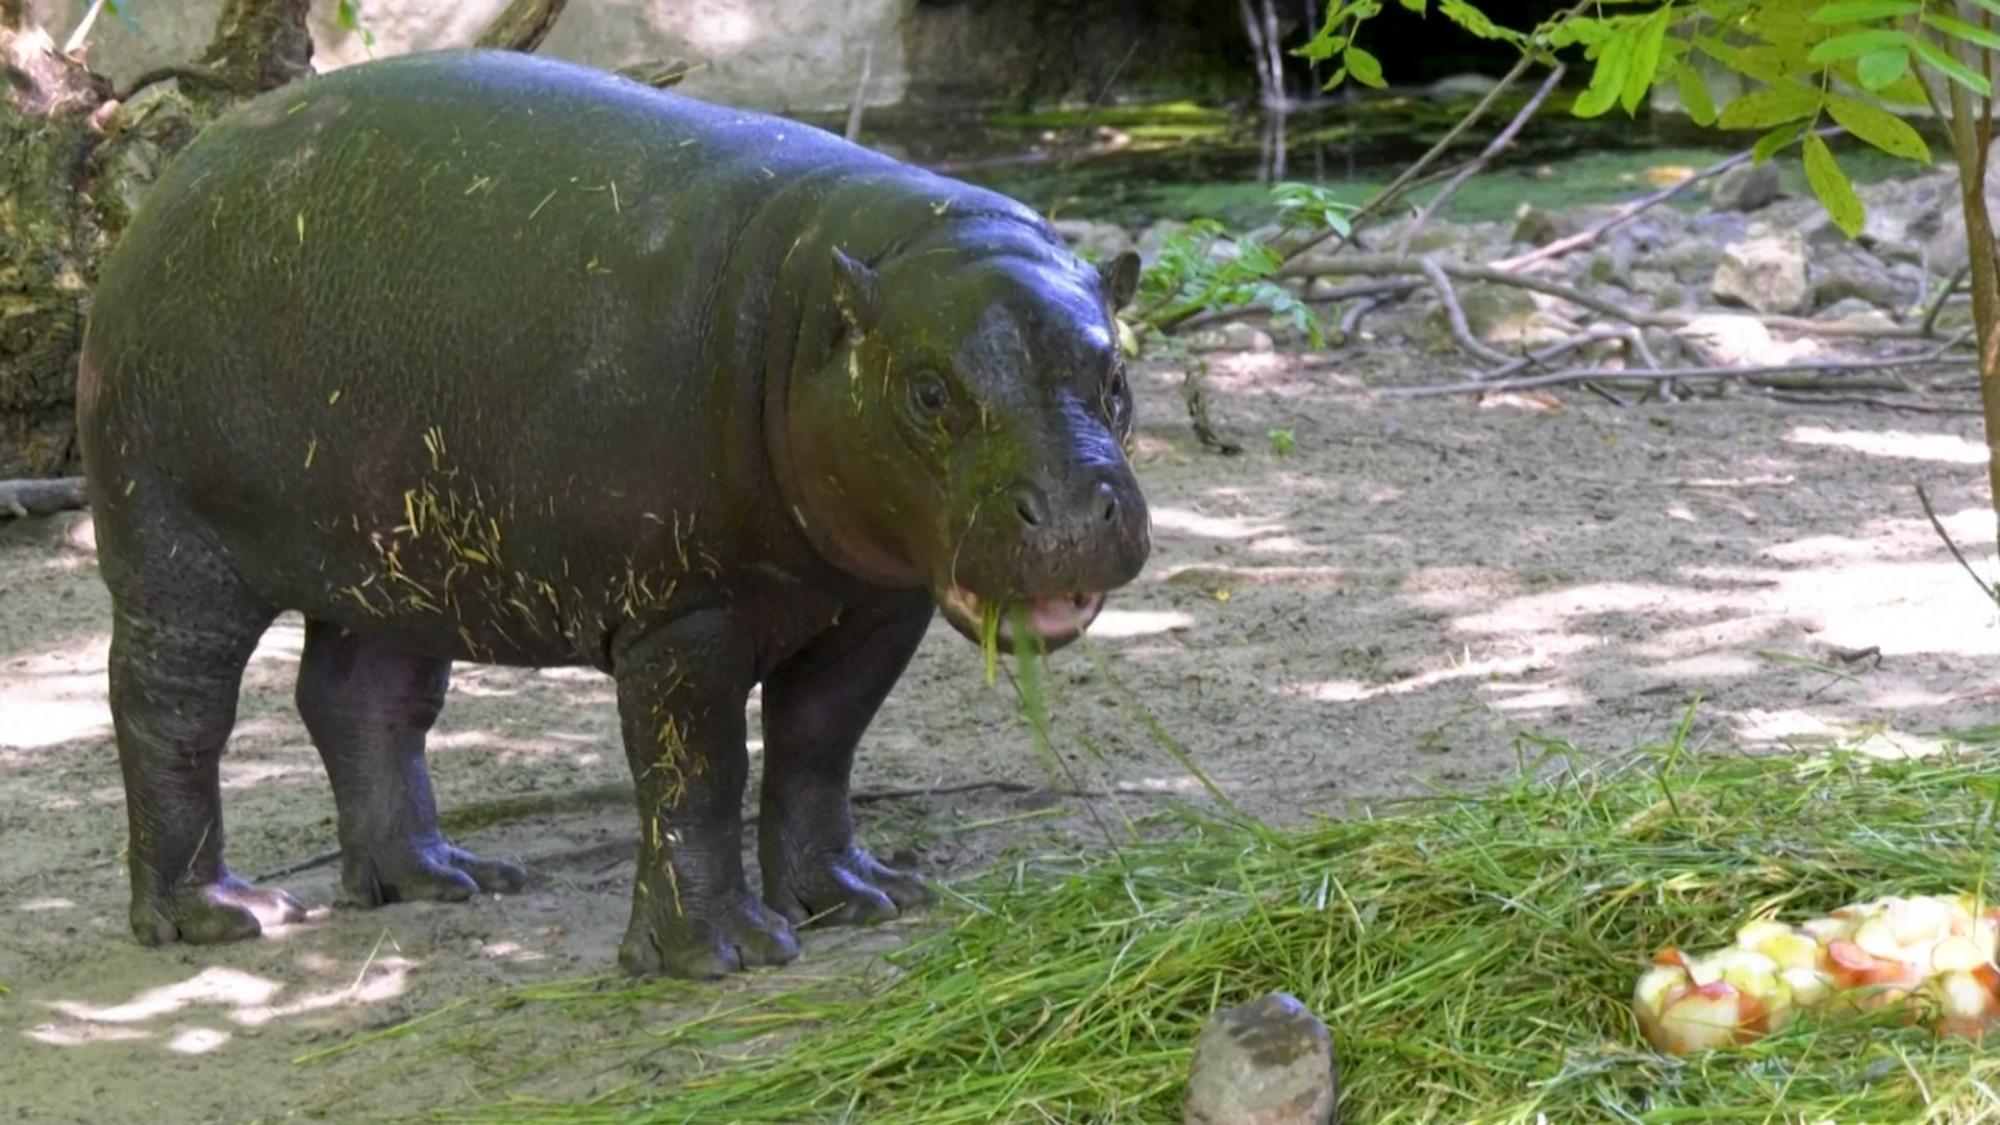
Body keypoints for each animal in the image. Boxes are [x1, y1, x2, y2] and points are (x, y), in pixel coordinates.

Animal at [77, 49, 1148, 978]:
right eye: (928, 391)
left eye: (1116, 376)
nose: (1069, 509)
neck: (819, 313)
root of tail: (174, 180)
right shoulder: (685, 615)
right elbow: (698, 772)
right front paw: (721, 954)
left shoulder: (877, 605)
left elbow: (819, 749)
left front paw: (858, 898)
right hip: (175, 549)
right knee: (170, 707)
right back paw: (219, 914)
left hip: (394, 549)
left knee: (362, 699)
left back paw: (445, 879)